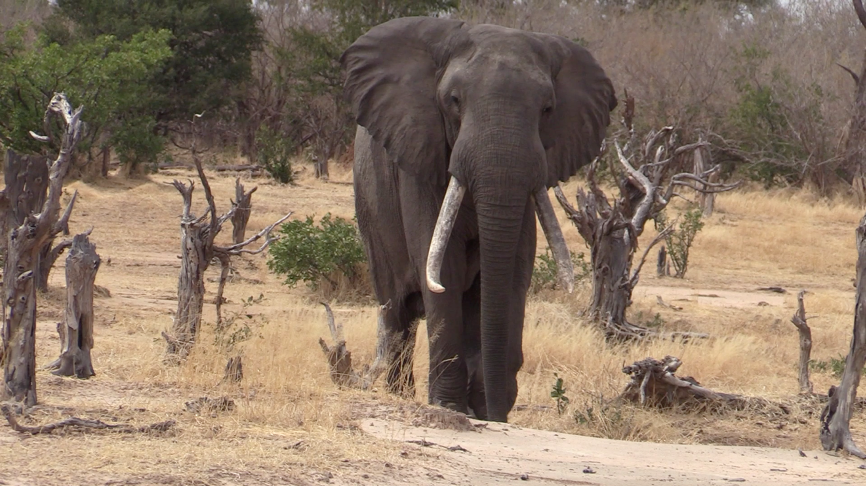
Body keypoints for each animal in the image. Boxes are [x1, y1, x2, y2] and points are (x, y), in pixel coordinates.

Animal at [341, 16, 616, 422]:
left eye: (548, 108)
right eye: (454, 101)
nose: (497, 413)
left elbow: (512, 272)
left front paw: (485, 411)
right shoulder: (421, 154)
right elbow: (445, 269)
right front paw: (449, 407)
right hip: (370, 213)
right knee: (396, 313)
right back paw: (400, 394)